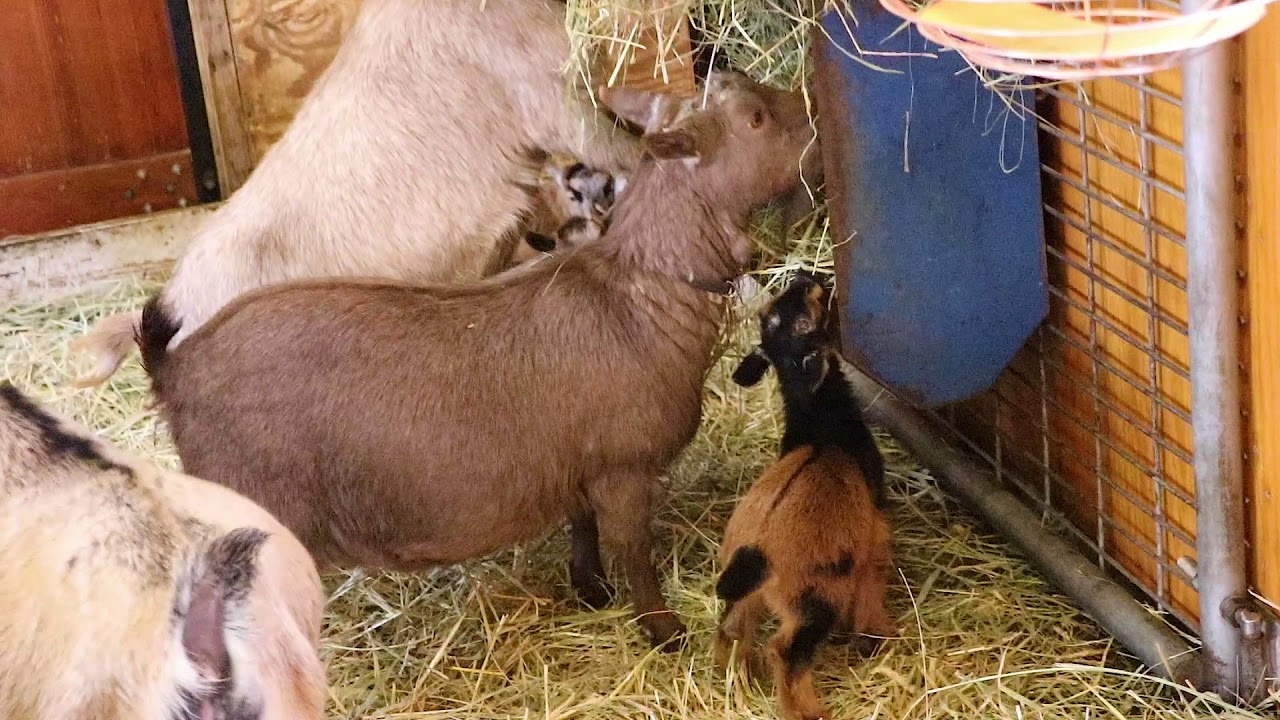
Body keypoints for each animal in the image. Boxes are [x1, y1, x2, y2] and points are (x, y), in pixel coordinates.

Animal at [136, 69, 817, 650]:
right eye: (755, 118)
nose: (811, 113)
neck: (638, 293)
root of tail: (174, 369)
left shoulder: (575, 464)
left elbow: (582, 528)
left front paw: (591, 591)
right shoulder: (624, 470)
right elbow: (634, 553)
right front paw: (663, 631)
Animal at [714, 271, 896, 720]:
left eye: (777, 316)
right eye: (806, 323)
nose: (805, 277)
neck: (821, 427)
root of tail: (756, 553)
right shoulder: (874, 521)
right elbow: (873, 574)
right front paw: (875, 634)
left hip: (746, 593)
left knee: (732, 627)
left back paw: (738, 680)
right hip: (814, 601)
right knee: (785, 651)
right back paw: (811, 711)